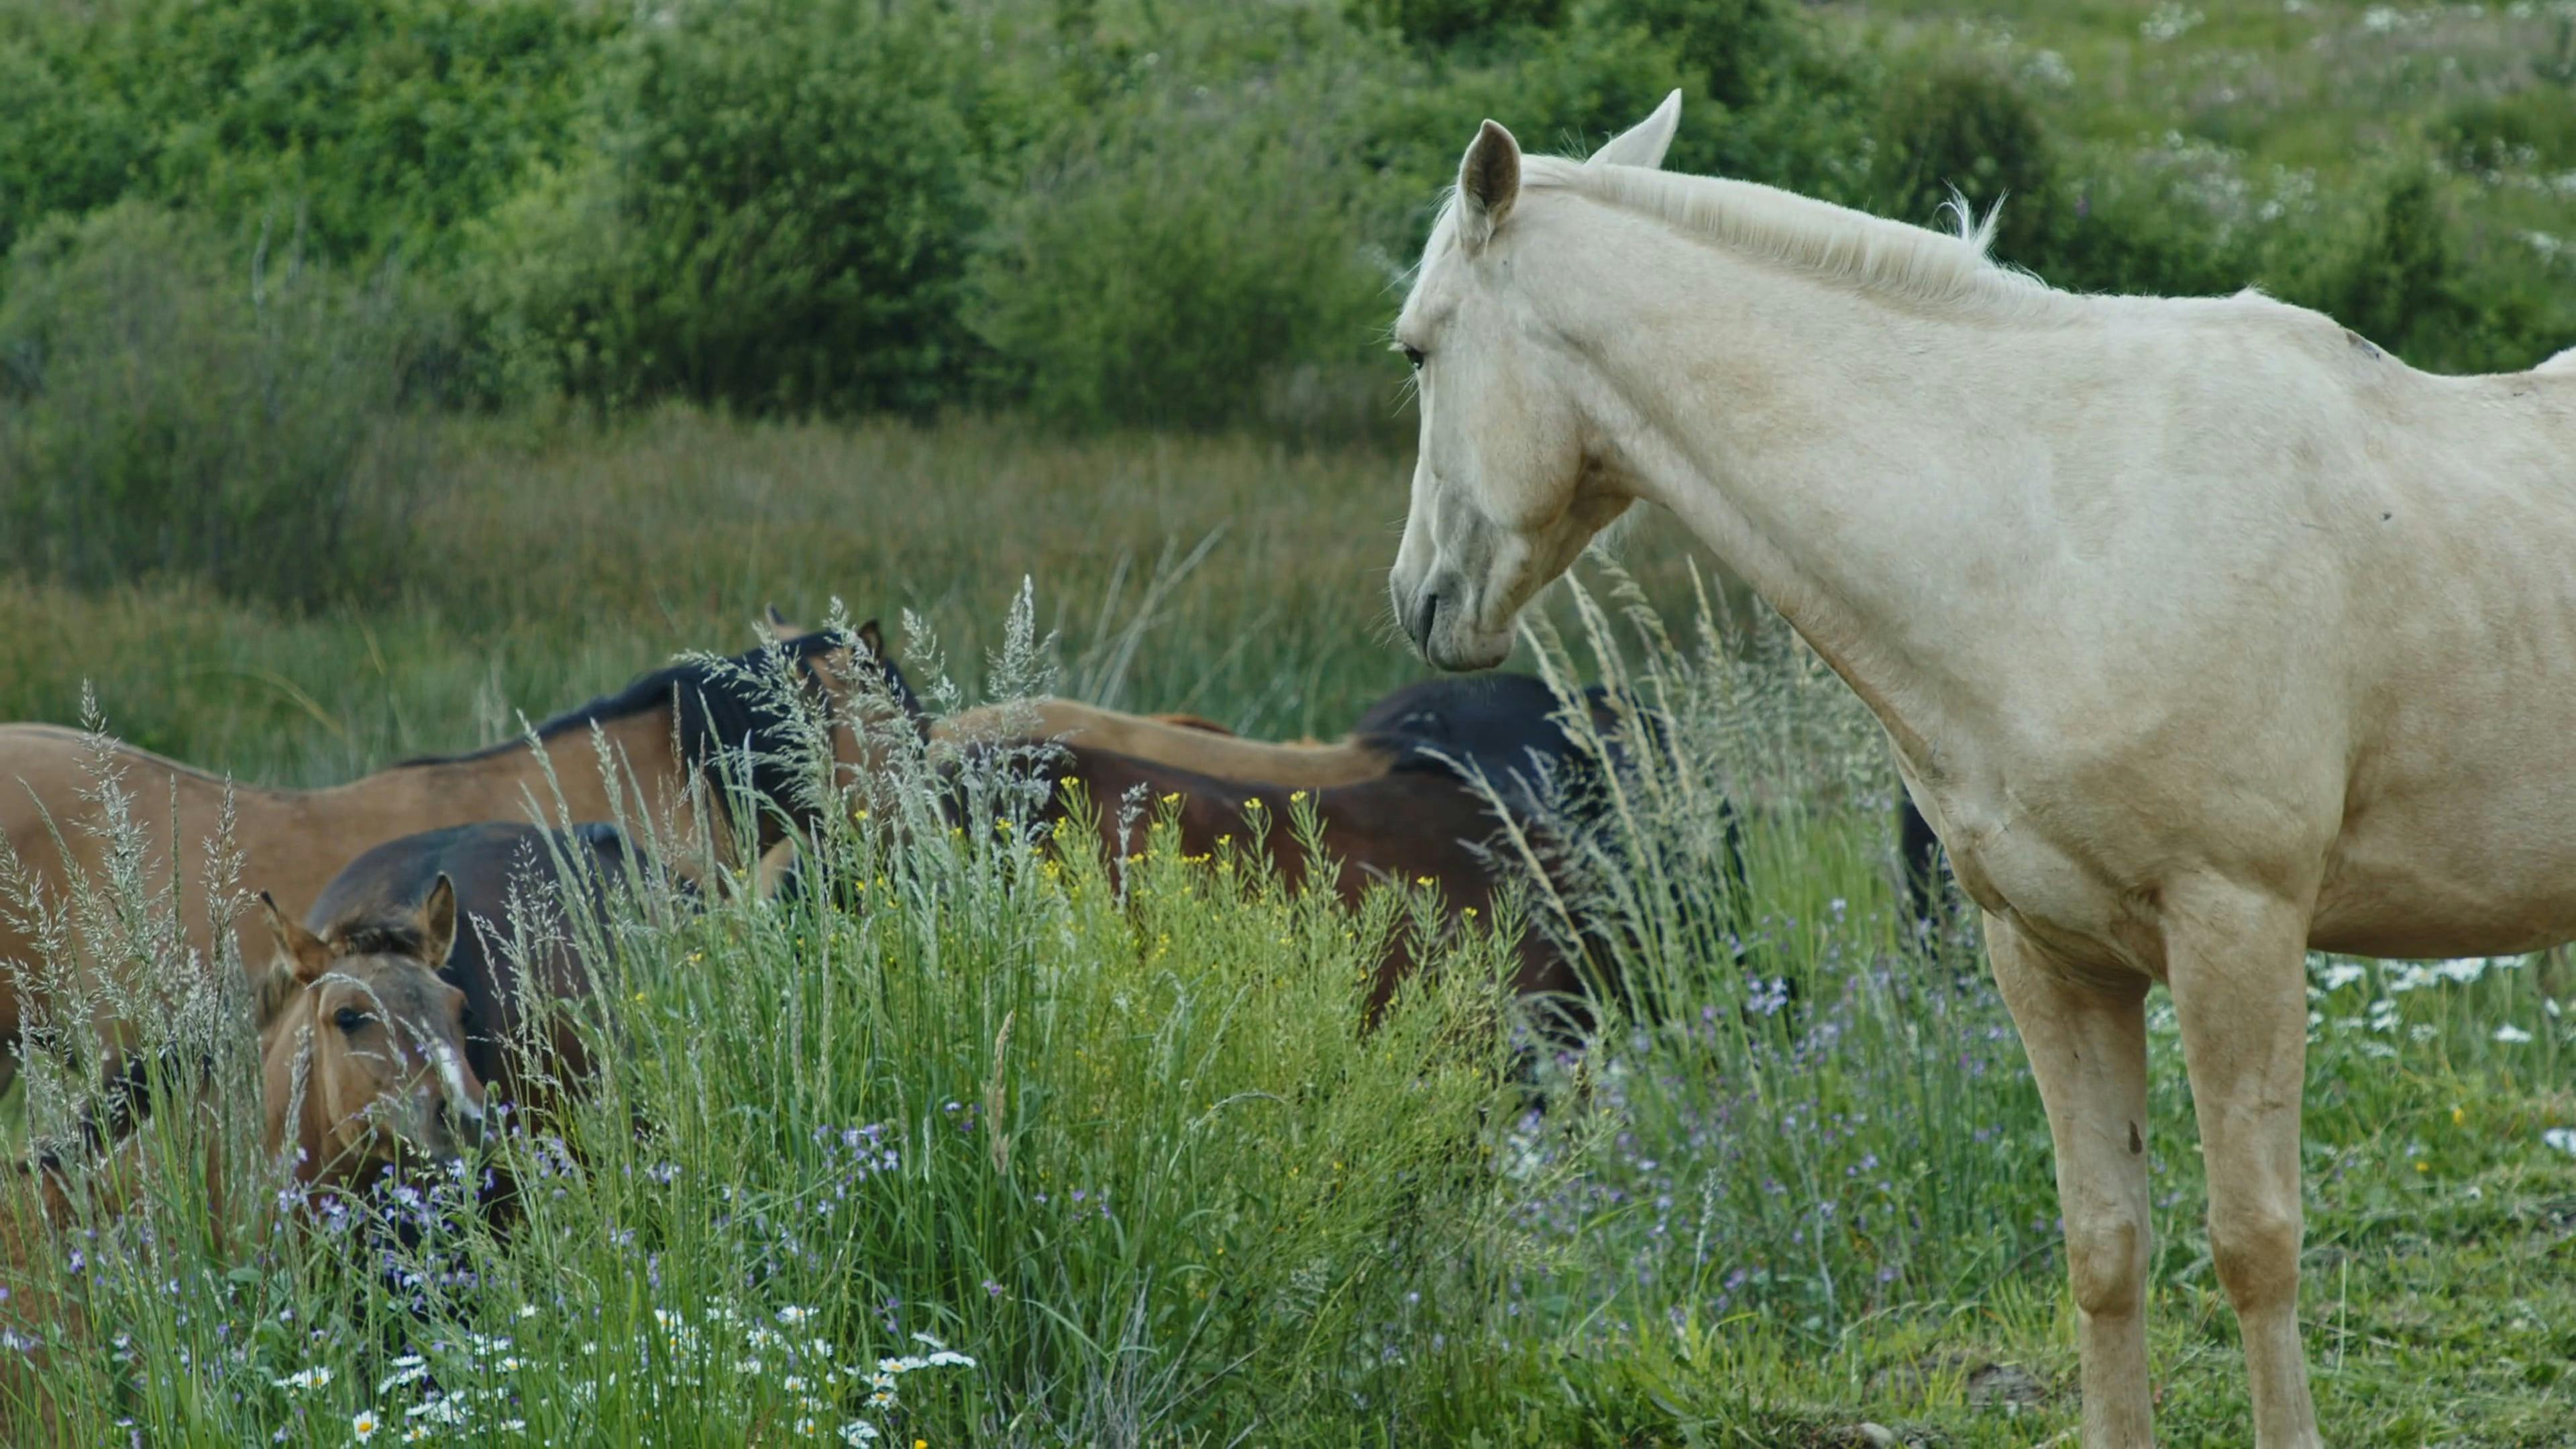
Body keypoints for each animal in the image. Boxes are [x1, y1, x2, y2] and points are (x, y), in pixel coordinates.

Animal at [1381, 91, 2576, 1447]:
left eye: (1417, 349)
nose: (1422, 601)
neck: (2053, 529)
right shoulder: (2051, 958)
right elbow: (2105, 1247)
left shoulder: (2242, 932)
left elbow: (2254, 1247)